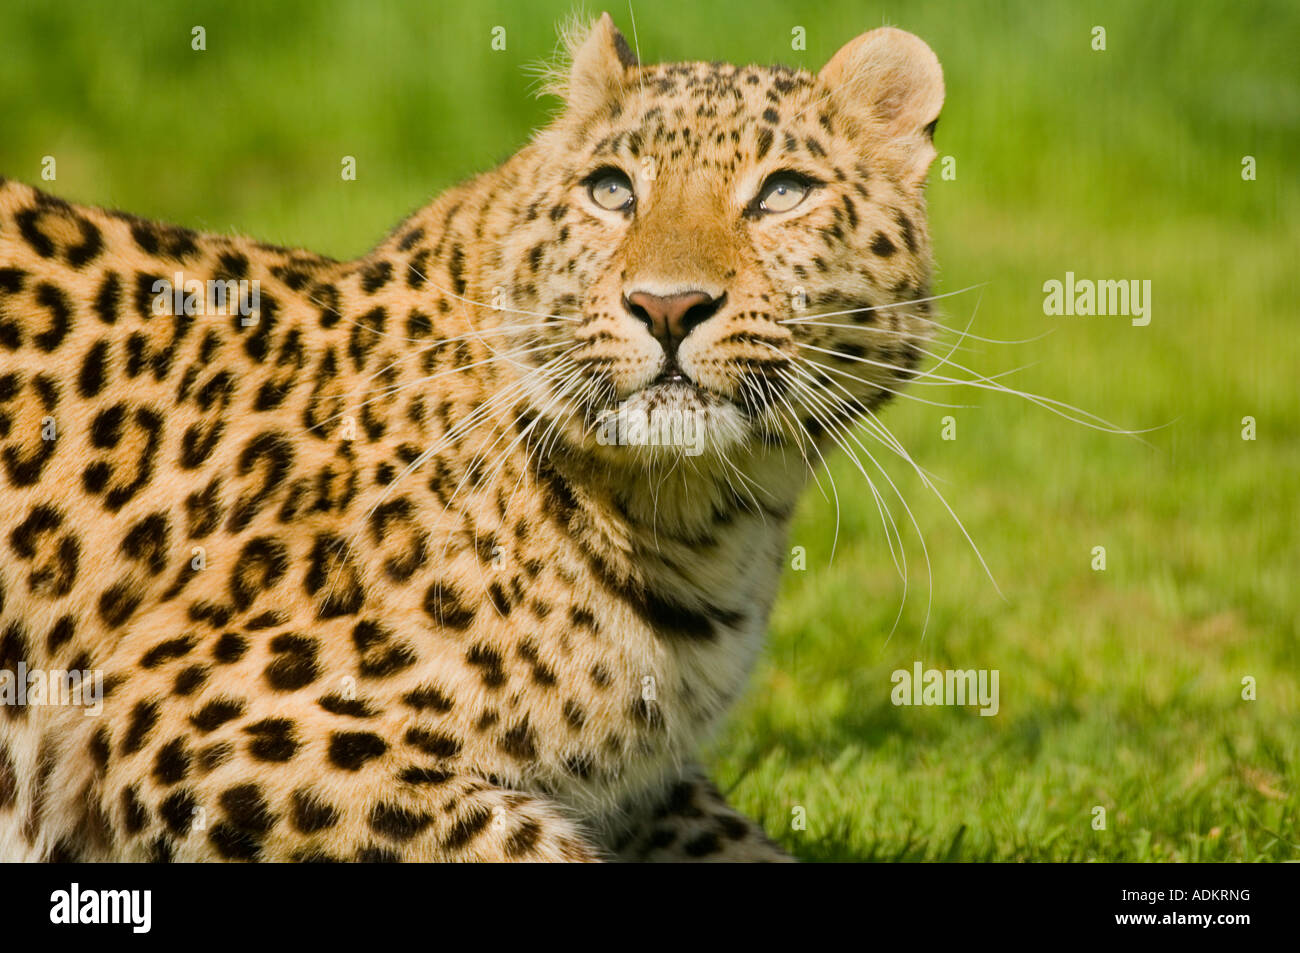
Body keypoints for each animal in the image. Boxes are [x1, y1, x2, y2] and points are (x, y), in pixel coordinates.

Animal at [0, 13, 944, 862]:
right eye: (612, 189)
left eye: (783, 192)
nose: (668, 305)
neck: (700, 517)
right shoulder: (187, 725)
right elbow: (528, 845)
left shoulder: (649, 789)